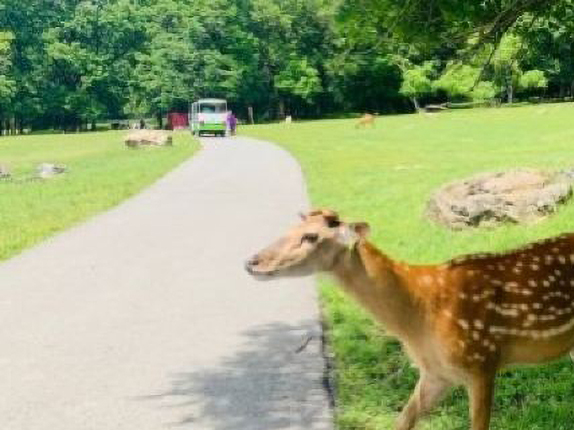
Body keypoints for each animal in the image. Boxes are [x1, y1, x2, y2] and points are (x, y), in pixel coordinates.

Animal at [246, 209, 574, 430]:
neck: (419, 316)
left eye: (311, 236)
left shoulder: (482, 361)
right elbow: (402, 420)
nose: (252, 262)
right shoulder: (435, 373)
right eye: (292, 228)